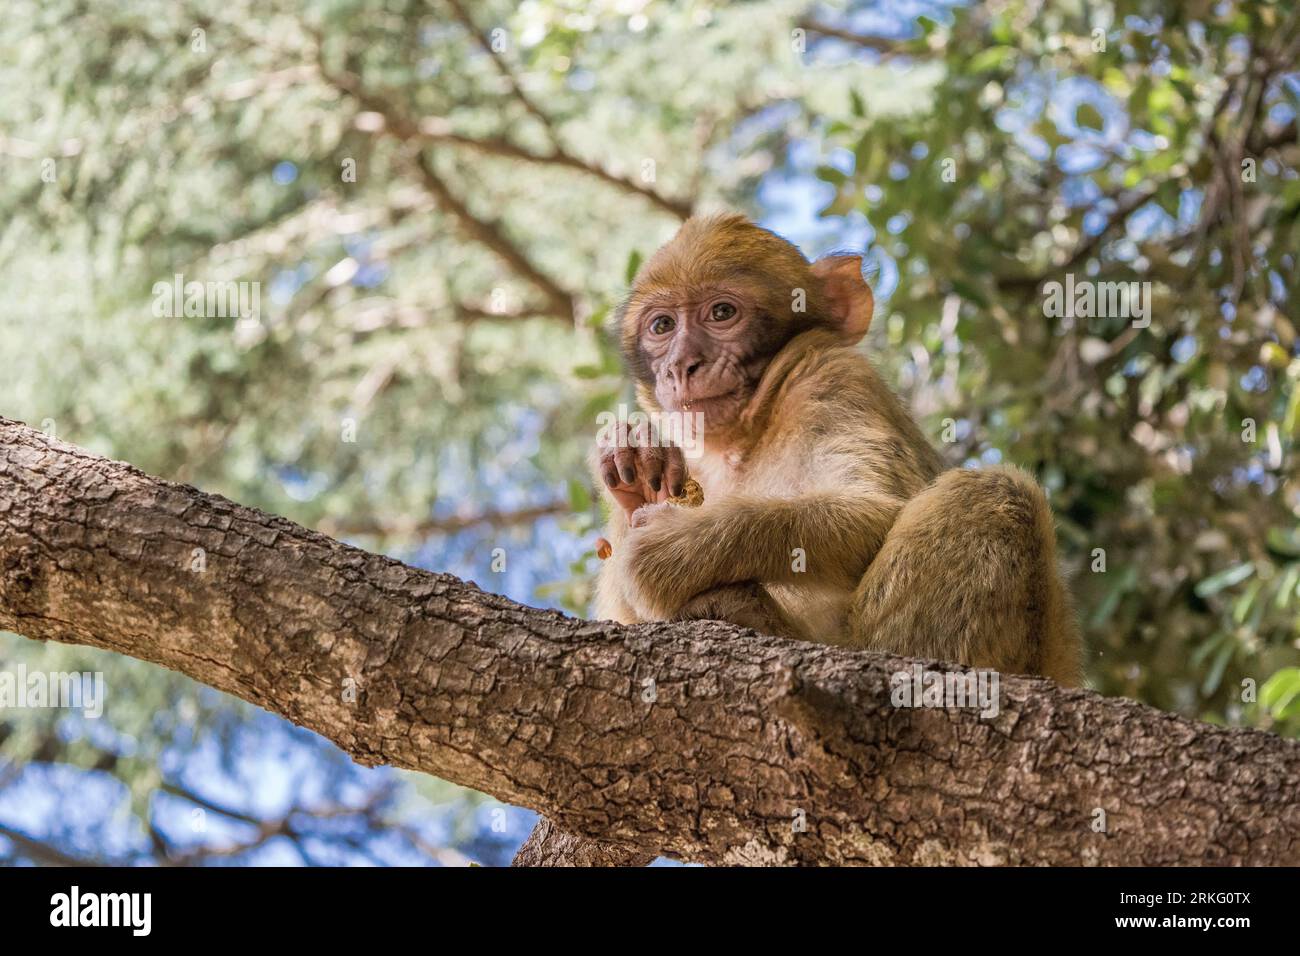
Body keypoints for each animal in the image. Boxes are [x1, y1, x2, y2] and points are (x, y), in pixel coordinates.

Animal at [591, 212, 1081, 687]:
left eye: (722, 312)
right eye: (662, 326)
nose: (681, 365)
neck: (749, 433)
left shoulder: (835, 377)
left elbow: (876, 510)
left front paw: (668, 550)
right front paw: (639, 461)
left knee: (995, 491)